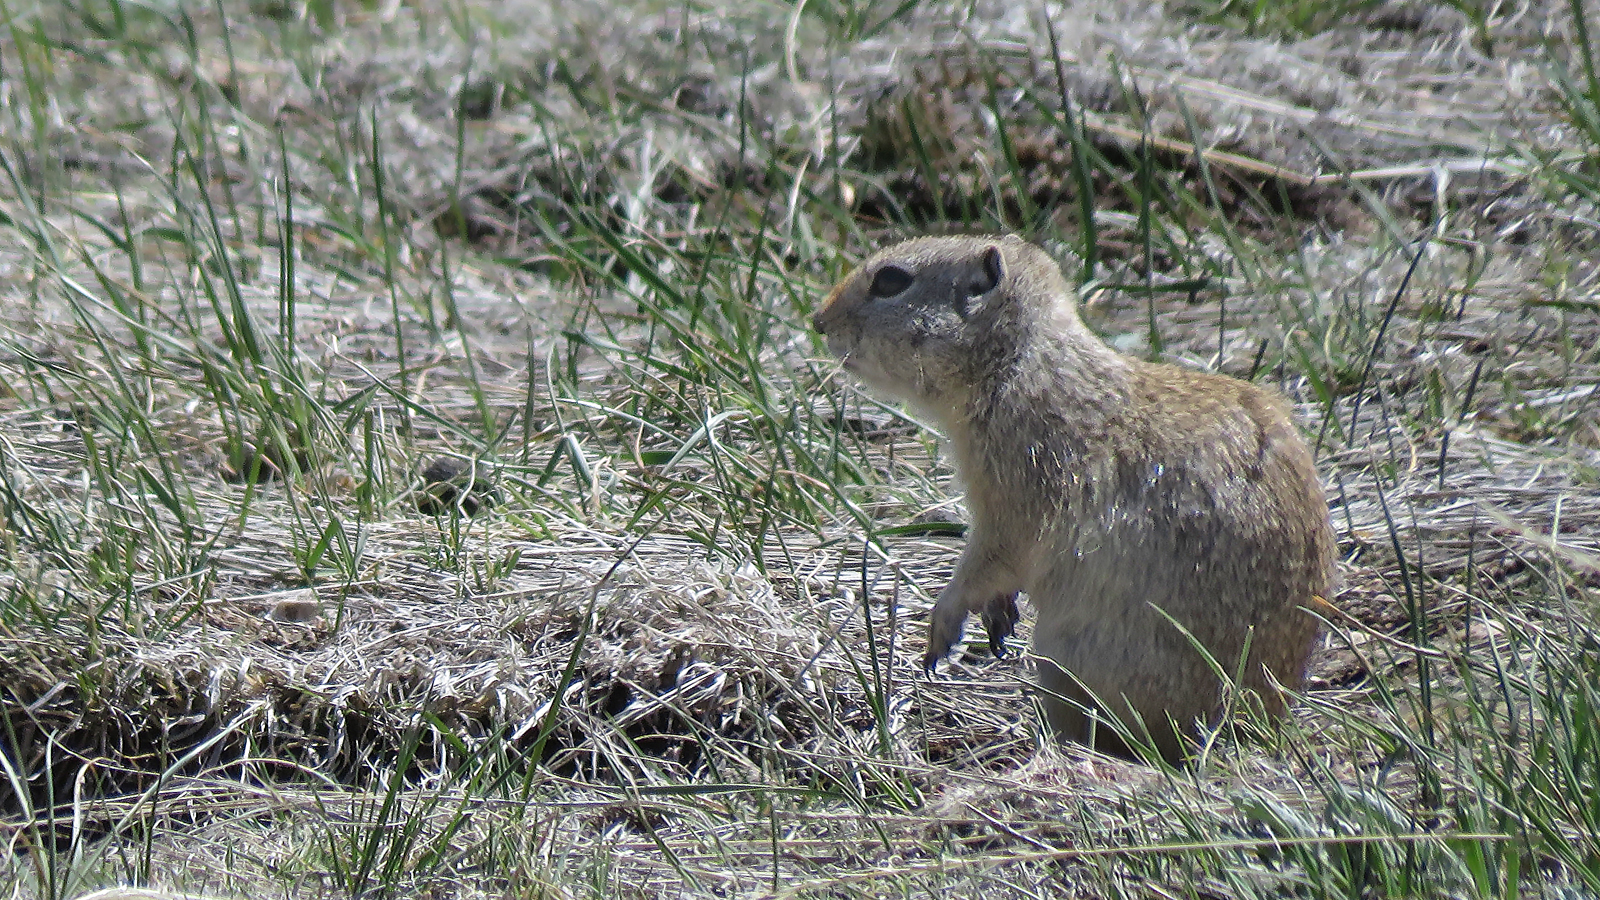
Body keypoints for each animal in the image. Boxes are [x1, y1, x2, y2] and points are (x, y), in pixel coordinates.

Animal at [813, 234, 1335, 762]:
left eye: (890, 280)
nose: (818, 322)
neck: (1020, 363)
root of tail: (1258, 727)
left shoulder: (1014, 488)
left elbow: (989, 559)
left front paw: (943, 624)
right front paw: (996, 617)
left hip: (1067, 662)